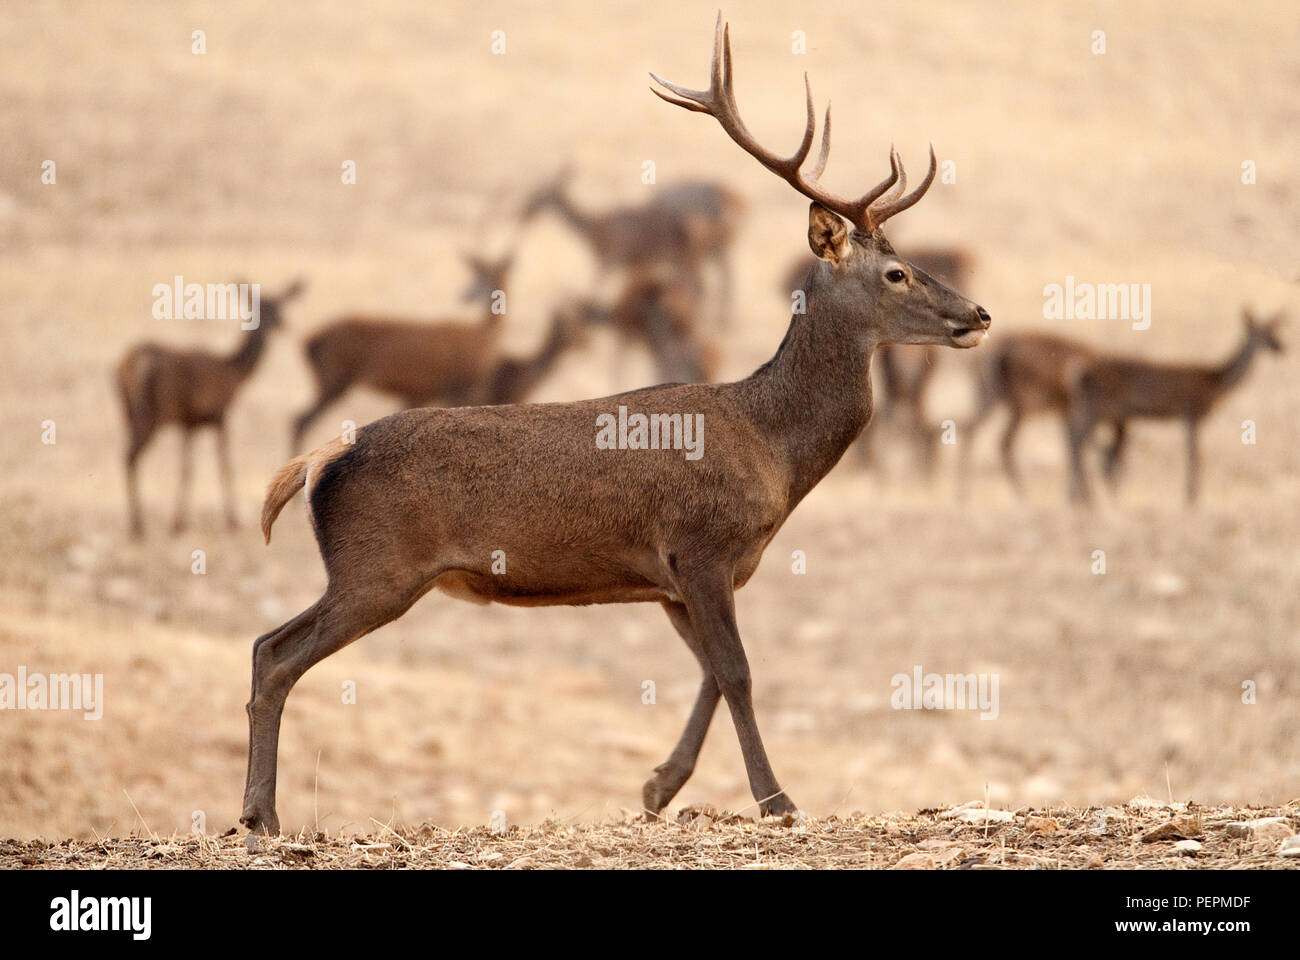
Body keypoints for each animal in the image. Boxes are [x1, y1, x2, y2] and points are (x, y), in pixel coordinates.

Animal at [116, 279, 304, 538]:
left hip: (128, 411)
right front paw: (231, 520)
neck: (233, 374)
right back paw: (138, 526)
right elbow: (224, 464)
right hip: (155, 414)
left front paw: (178, 522)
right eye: (260, 307)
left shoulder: (189, 422)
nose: (281, 324)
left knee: (127, 454)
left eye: (278, 304)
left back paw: (136, 524)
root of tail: (137, 361)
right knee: (131, 456)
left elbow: (187, 469)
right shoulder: (219, 414)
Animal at [290, 253, 512, 452]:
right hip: (335, 379)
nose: (464, 295)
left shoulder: (423, 394)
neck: (486, 337)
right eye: (478, 273)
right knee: (299, 420)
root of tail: (309, 341)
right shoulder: (456, 387)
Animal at [1066, 309, 1285, 504]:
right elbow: (1196, 457)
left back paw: (1080, 496)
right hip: (1099, 408)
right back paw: (1085, 498)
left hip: (1097, 410)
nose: (1280, 347)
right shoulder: (1193, 414)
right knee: (1077, 440)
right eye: (1259, 332)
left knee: (1076, 439)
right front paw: (1191, 498)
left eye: (1273, 330)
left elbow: (1192, 455)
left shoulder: (1188, 419)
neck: (1217, 381)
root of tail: (1081, 376)